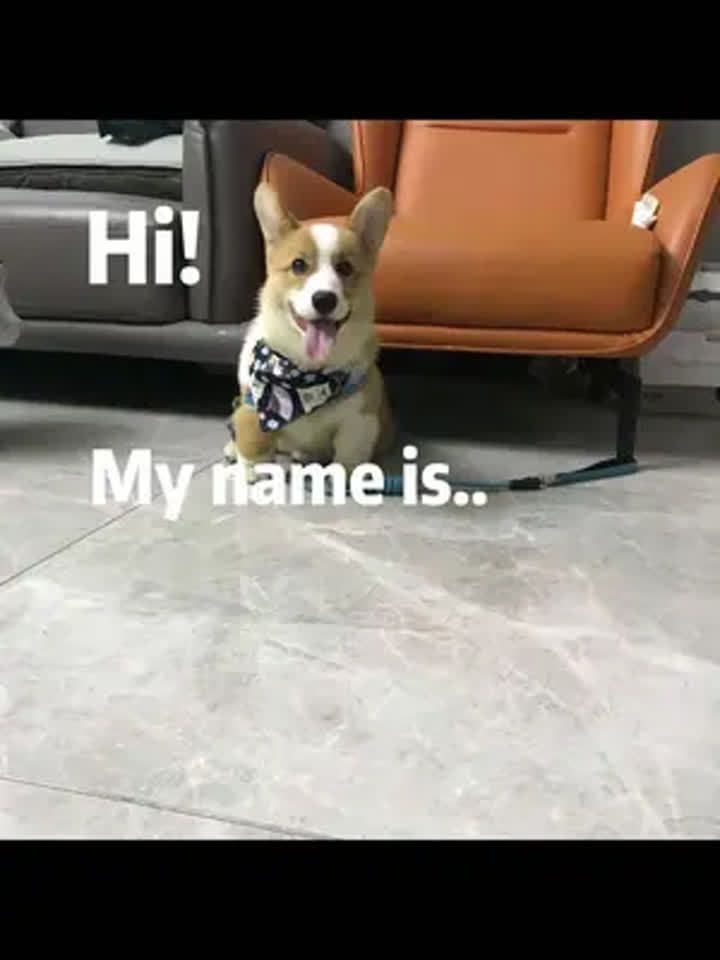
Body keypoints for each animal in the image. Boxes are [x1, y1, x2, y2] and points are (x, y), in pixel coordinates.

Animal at [225, 182, 395, 482]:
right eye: (298, 265)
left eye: (345, 267)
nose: (324, 299)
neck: (305, 376)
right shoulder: (253, 404)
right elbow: (251, 442)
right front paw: (250, 472)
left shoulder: (359, 420)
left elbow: (349, 456)